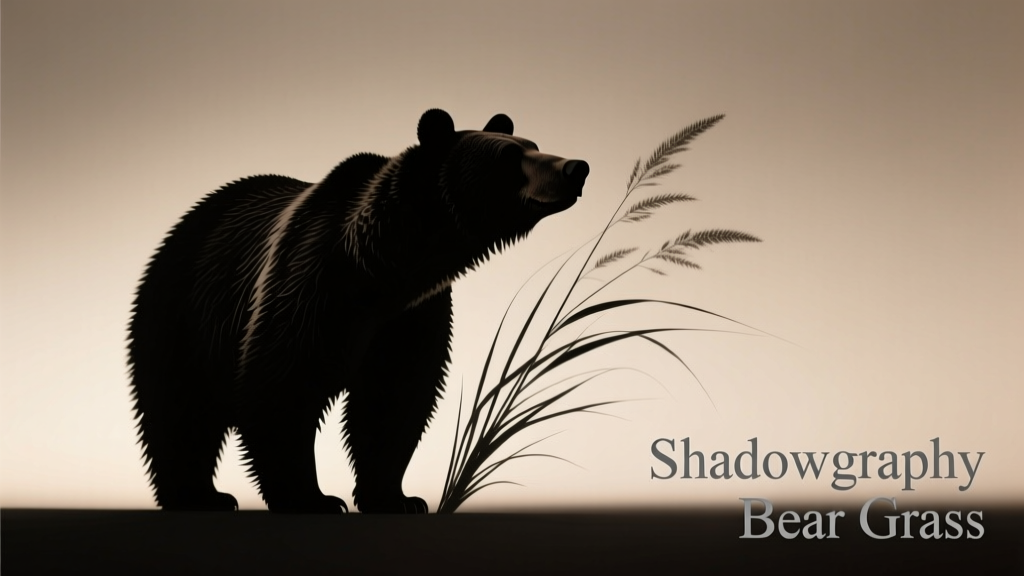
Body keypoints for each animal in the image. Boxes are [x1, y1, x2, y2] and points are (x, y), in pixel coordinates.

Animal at [127, 109, 589, 513]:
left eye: (533, 144)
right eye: (510, 157)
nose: (576, 168)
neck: (385, 268)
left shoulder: (412, 314)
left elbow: (394, 397)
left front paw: (396, 499)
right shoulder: (309, 285)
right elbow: (281, 386)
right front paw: (311, 499)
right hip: (187, 305)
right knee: (179, 403)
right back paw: (197, 496)